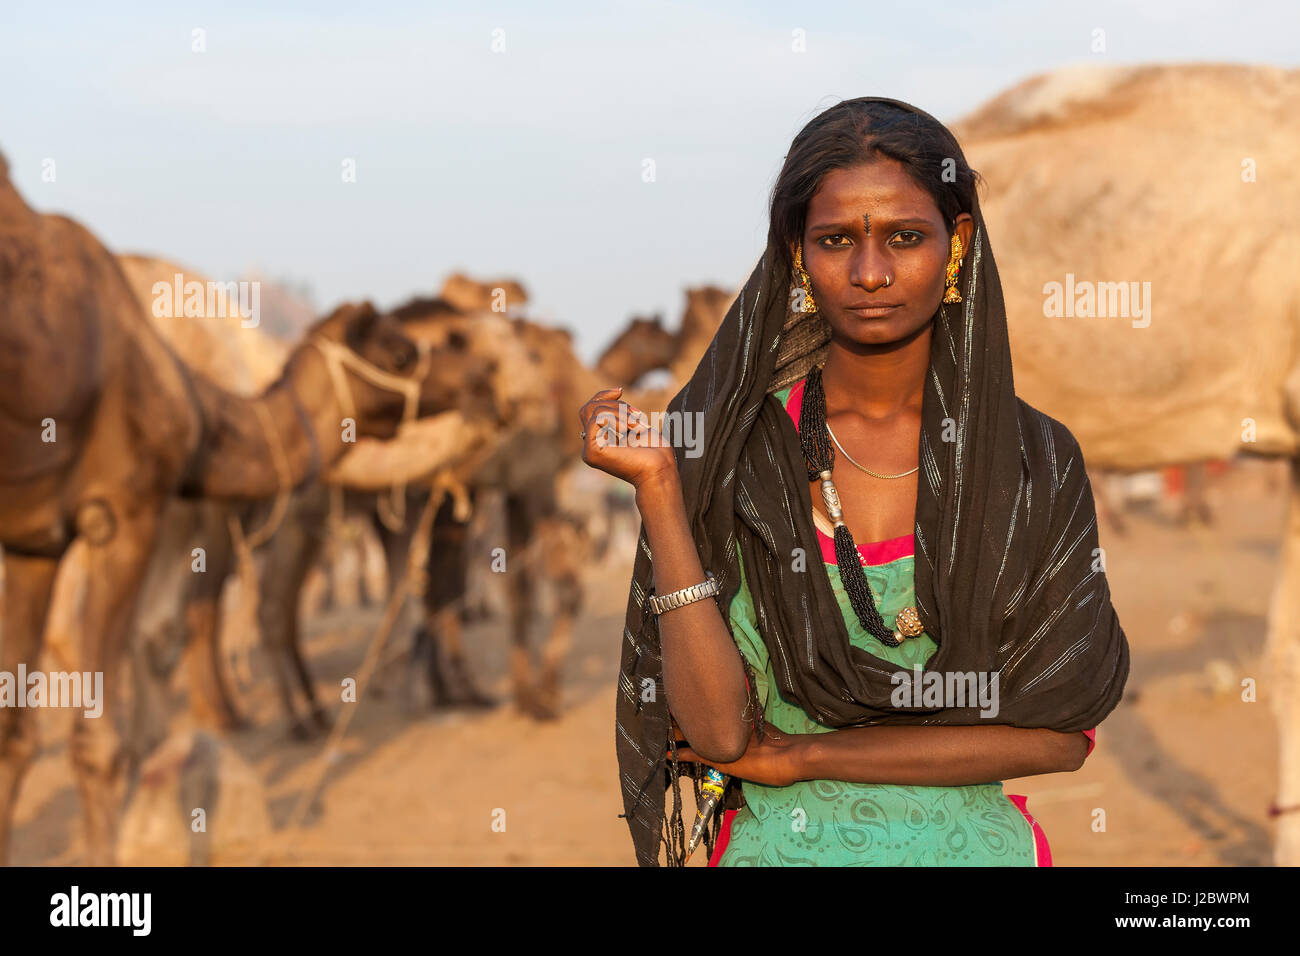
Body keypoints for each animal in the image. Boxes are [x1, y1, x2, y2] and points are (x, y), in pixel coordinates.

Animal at [0, 161, 495, 865]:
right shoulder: (123, 511)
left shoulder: (34, 541)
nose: (480, 379)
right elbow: (98, 744)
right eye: (400, 353)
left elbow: (13, 740)